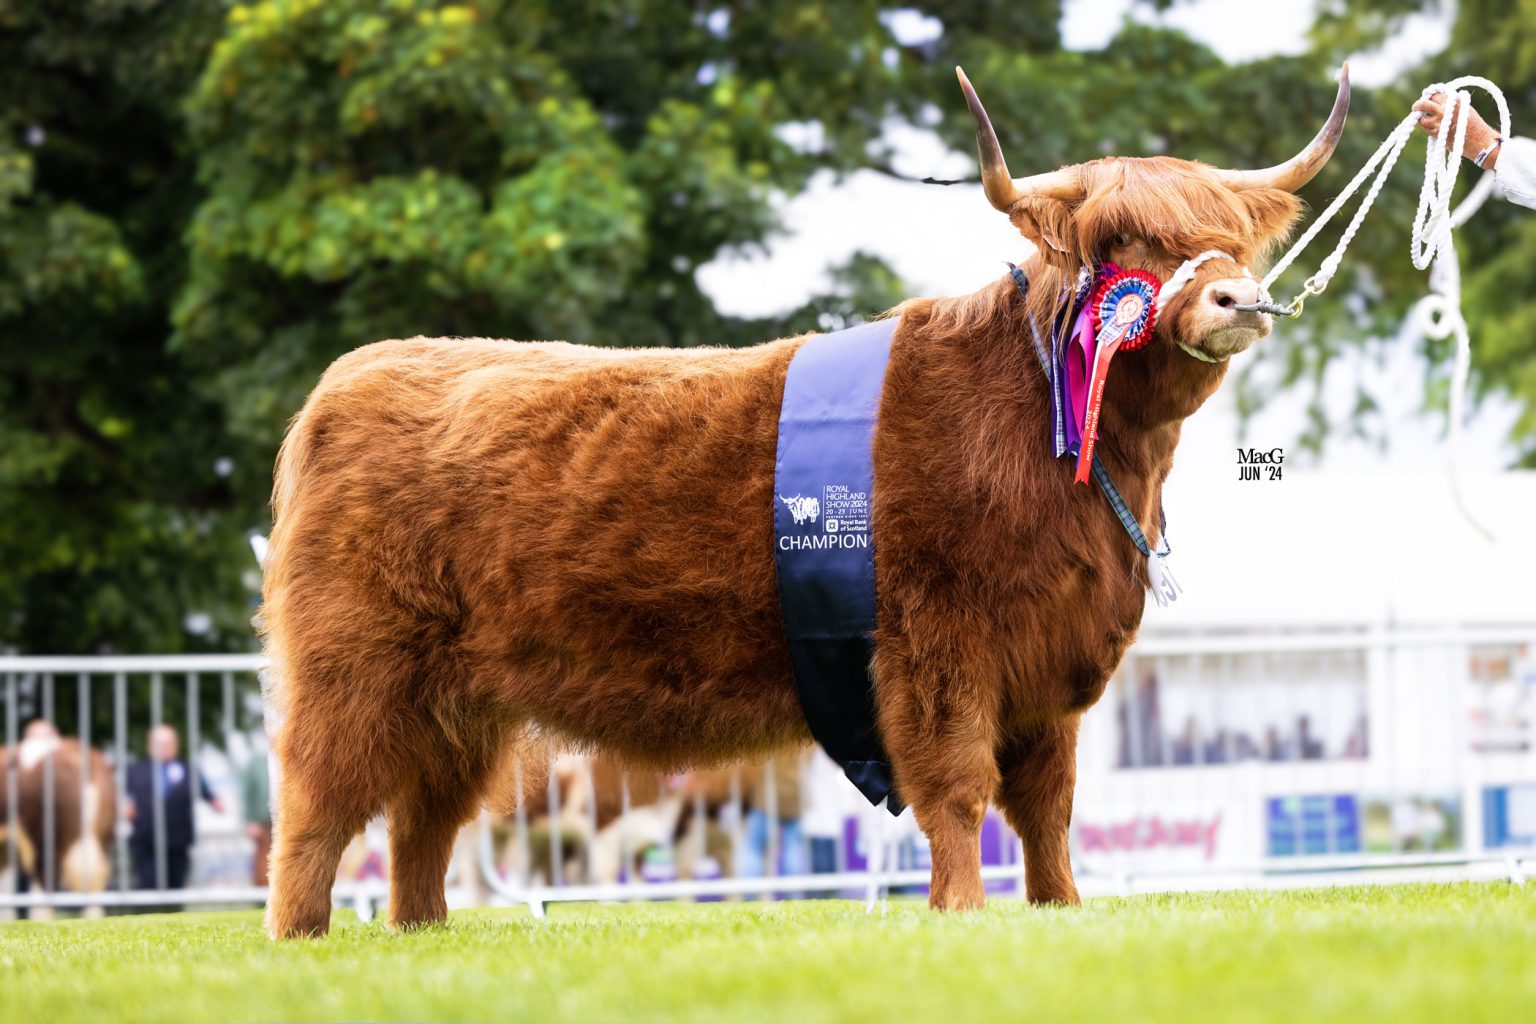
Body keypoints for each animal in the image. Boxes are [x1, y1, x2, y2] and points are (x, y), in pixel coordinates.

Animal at [260, 66, 1350, 938]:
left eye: (1229, 235)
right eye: (1124, 239)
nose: (1236, 300)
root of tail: (353, 376)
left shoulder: (1049, 657)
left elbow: (1045, 804)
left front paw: (1060, 906)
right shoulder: (938, 645)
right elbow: (960, 788)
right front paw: (964, 912)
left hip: (455, 701)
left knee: (424, 820)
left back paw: (421, 929)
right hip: (354, 670)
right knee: (318, 803)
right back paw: (301, 936)